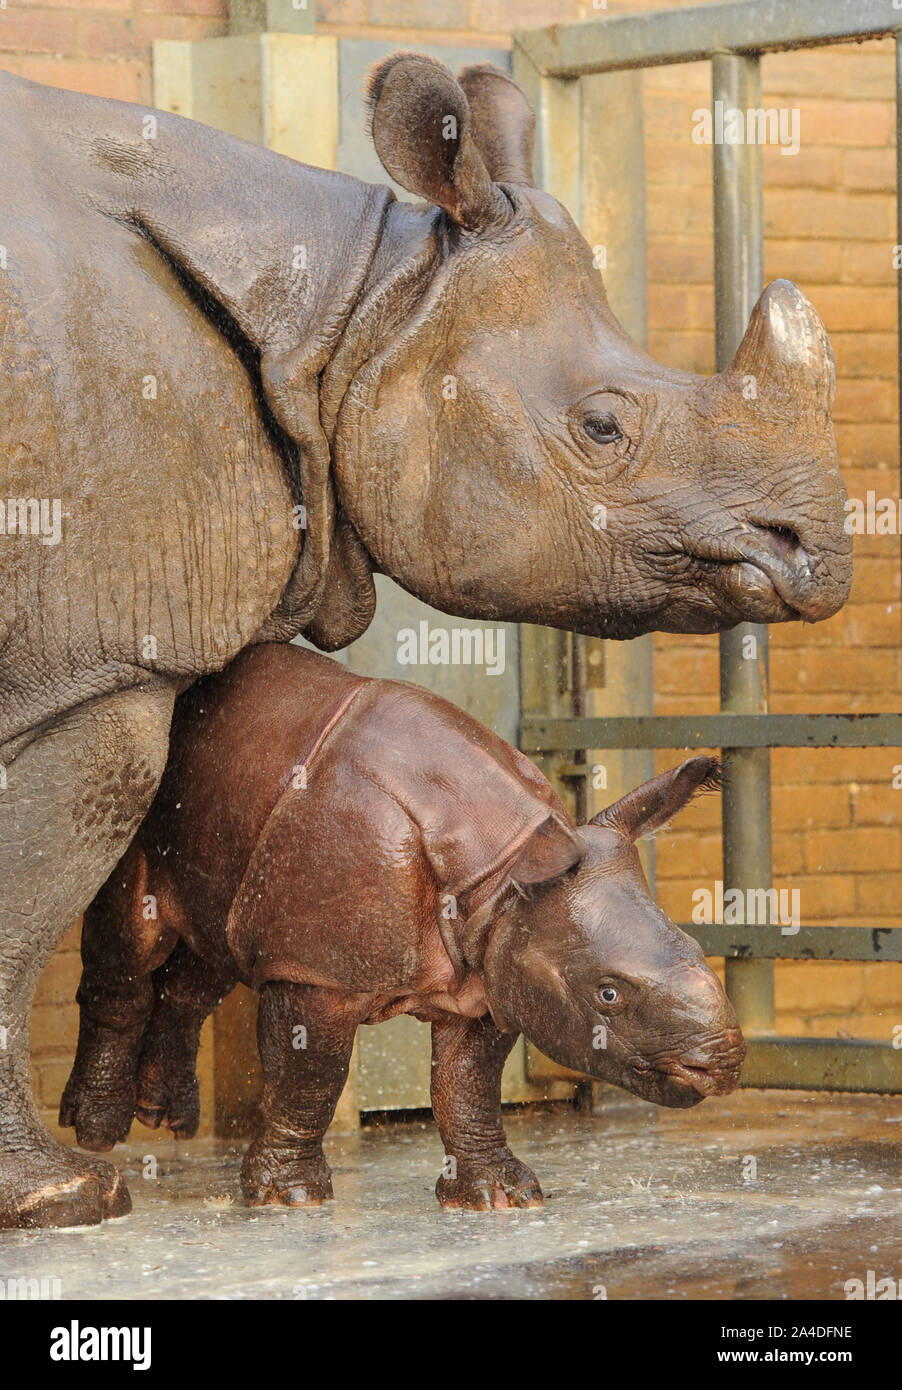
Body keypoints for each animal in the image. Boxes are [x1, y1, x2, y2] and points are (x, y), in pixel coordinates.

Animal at [60, 644, 744, 1210]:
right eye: (607, 993)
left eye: (696, 944)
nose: (723, 1064)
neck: (499, 869)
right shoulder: (318, 969)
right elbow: (309, 1077)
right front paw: (290, 1198)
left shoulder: (490, 968)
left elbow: (467, 1085)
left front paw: (501, 1198)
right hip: (133, 796)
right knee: (131, 940)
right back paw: (96, 1135)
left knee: (212, 952)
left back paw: (163, 1118)